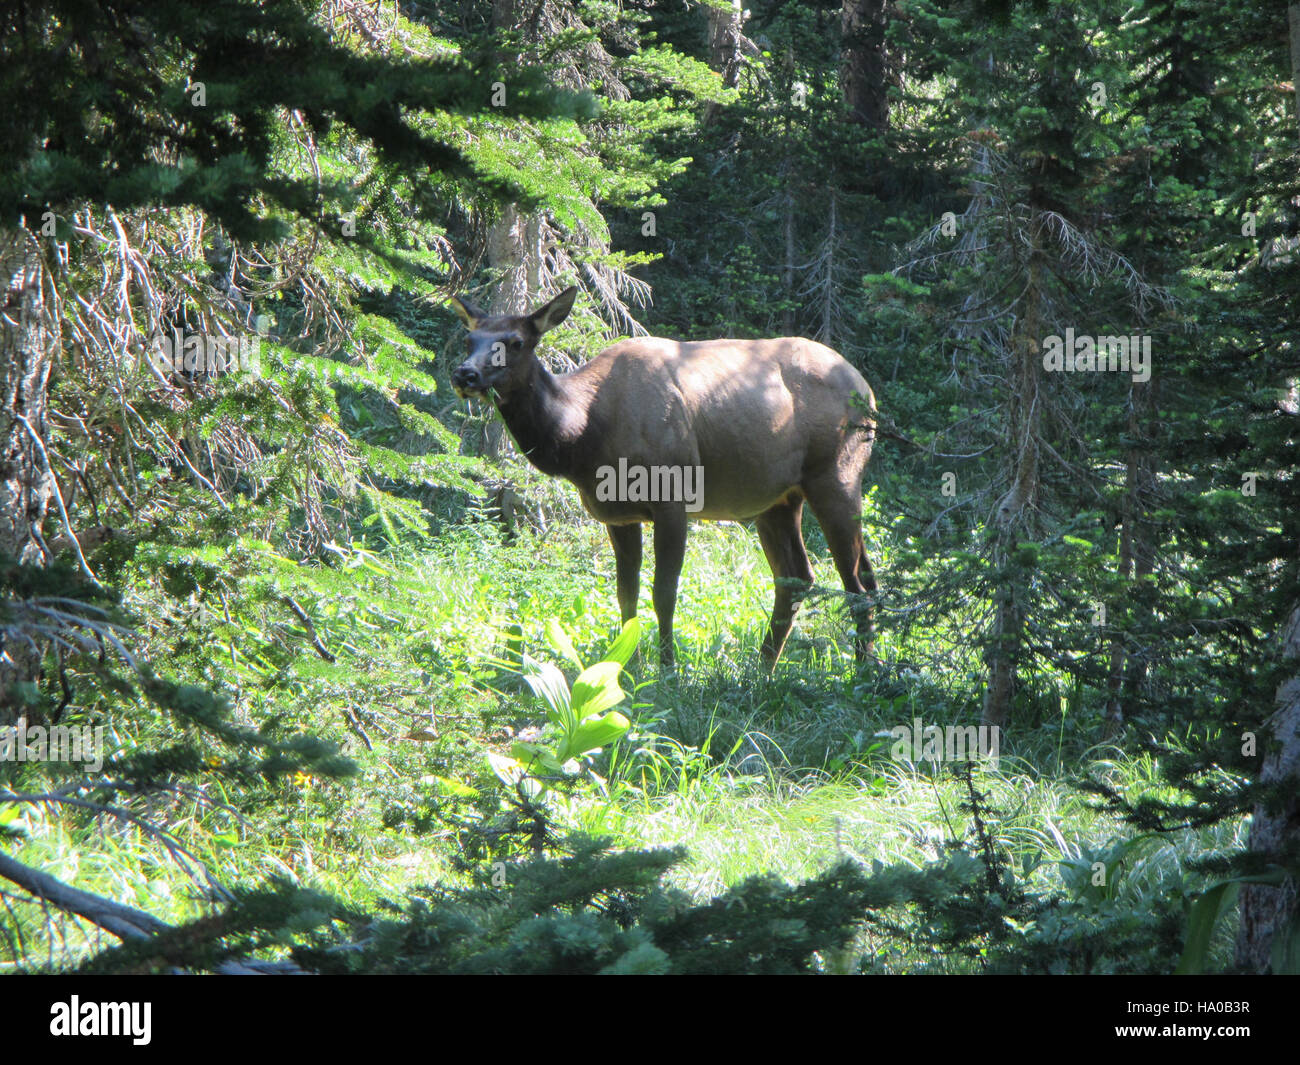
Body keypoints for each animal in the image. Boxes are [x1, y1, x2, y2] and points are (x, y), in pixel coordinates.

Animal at [448, 286, 878, 669]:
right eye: (469, 338)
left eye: (516, 341)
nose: (464, 374)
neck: (583, 436)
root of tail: (868, 390)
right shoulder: (618, 514)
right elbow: (626, 592)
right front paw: (627, 667)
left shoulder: (672, 499)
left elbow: (664, 592)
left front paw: (668, 671)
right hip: (778, 500)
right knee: (801, 577)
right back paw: (763, 669)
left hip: (836, 476)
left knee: (856, 582)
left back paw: (862, 671)